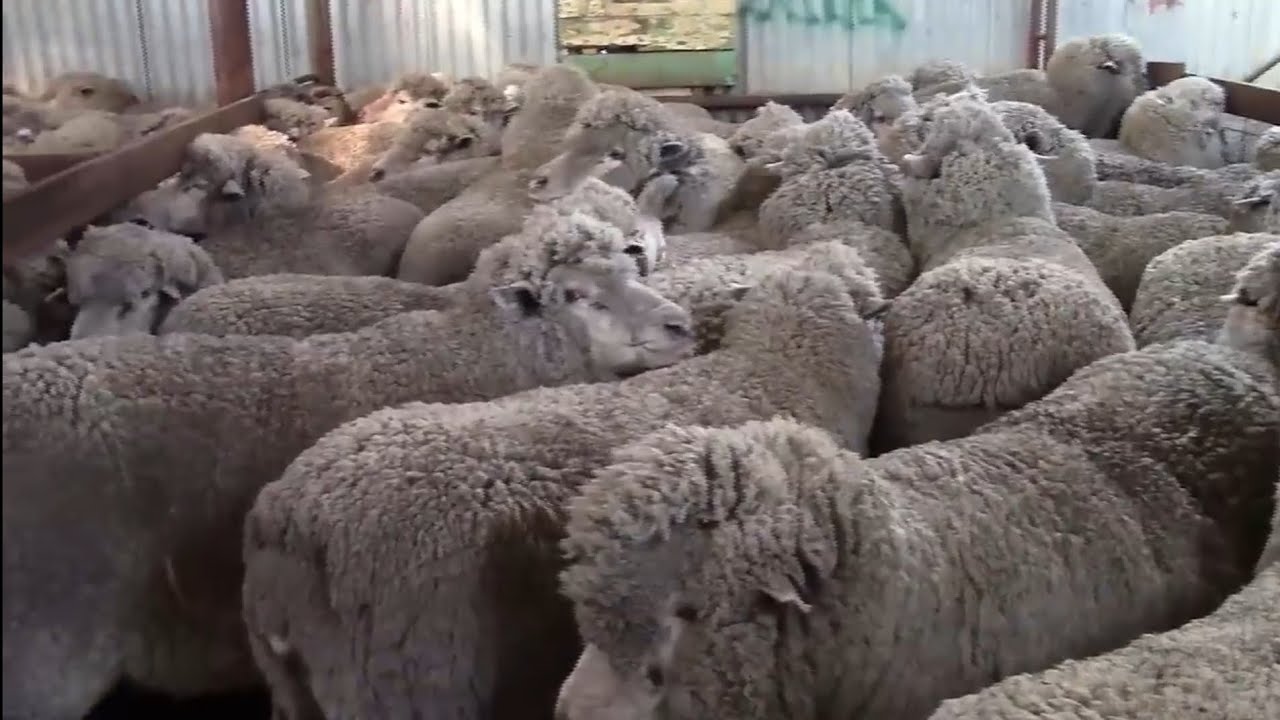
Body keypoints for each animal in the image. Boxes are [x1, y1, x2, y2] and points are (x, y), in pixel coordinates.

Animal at [239, 263, 888, 720]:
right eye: (581, 295)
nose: (678, 326)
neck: (774, 364)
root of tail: (290, 520)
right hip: (407, 686)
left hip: (293, 690)